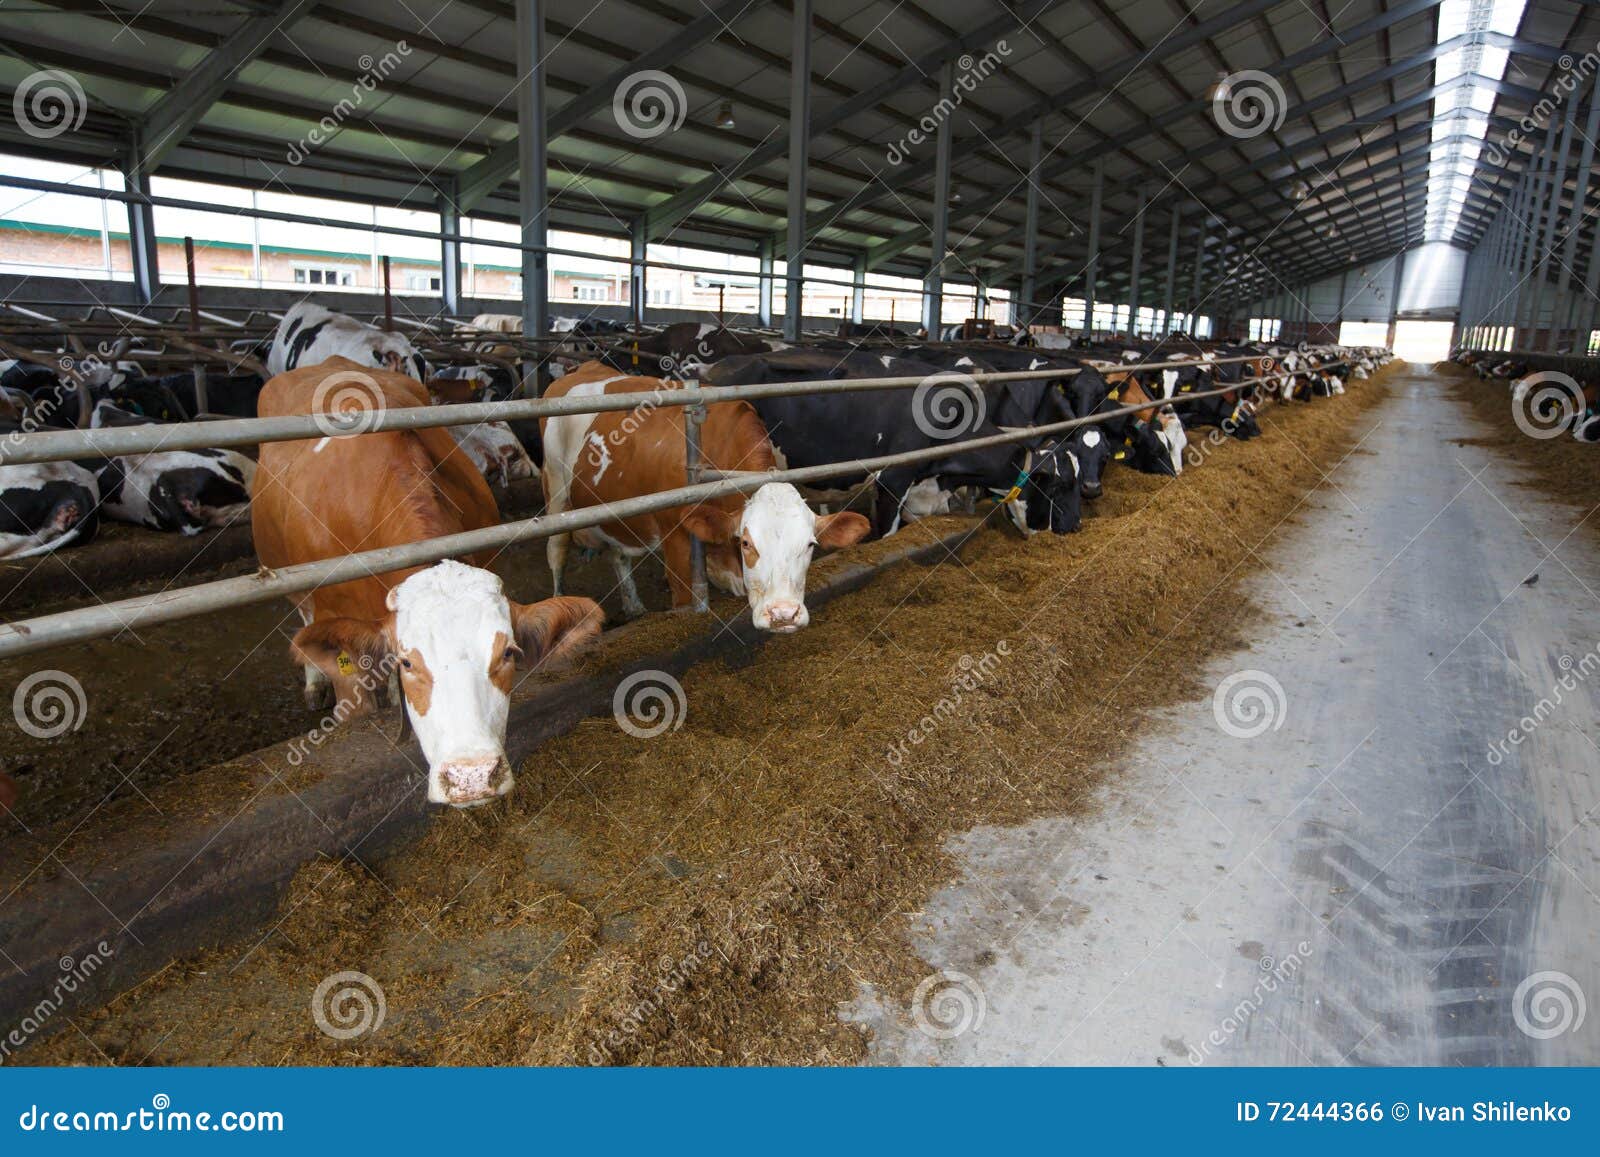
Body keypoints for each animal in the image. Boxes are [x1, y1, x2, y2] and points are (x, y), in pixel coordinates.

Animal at [540, 361, 870, 629]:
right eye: (746, 543)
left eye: (810, 544)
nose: (783, 614)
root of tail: (581, 369)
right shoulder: (676, 541)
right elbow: (684, 597)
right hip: (556, 492)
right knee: (556, 552)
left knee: (618, 554)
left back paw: (634, 607)